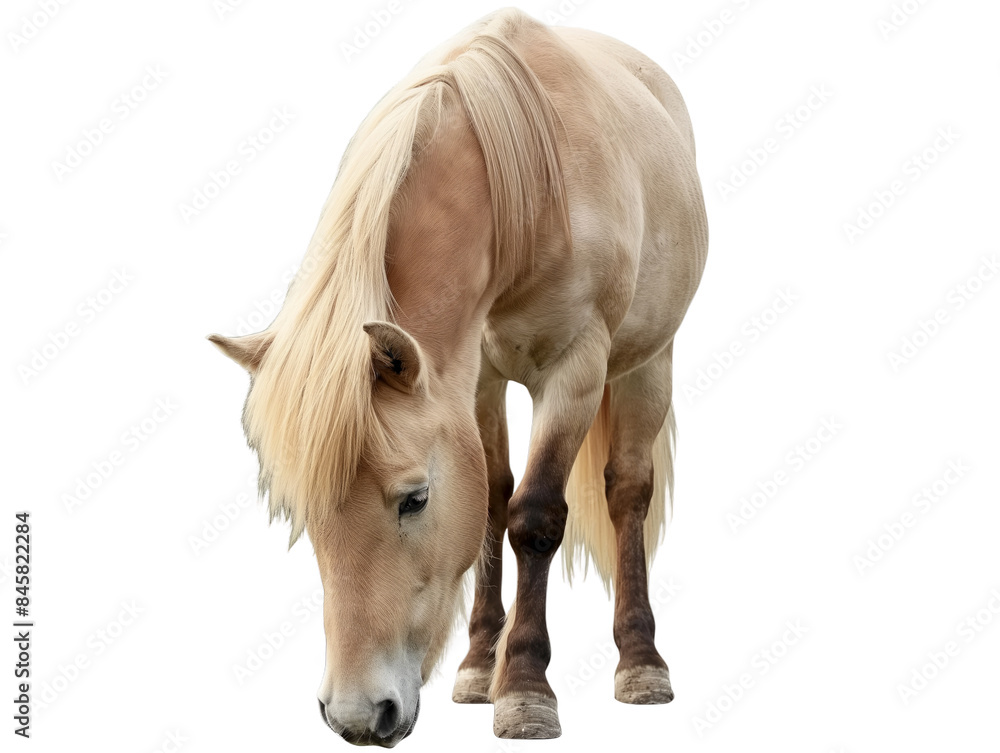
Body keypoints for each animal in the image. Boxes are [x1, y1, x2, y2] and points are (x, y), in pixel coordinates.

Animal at [209, 7, 707, 746]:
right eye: (305, 509)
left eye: (414, 499)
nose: (357, 715)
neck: (532, 193)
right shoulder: (472, 381)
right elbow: (494, 502)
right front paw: (479, 669)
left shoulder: (576, 371)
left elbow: (536, 515)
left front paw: (524, 689)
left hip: (650, 363)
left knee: (627, 492)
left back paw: (641, 662)